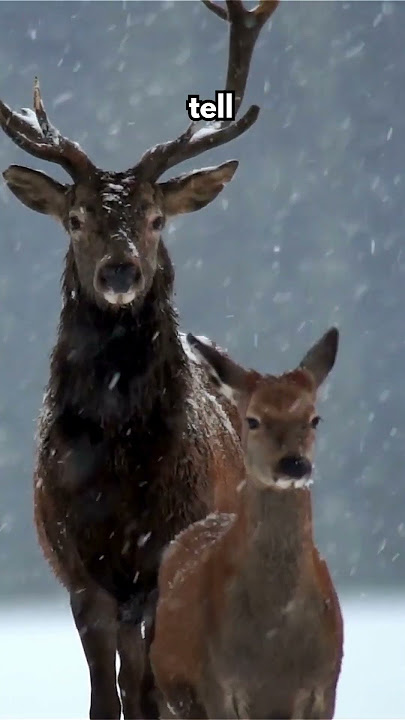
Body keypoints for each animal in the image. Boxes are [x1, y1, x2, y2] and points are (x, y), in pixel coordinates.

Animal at [0, 2, 280, 718]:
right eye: (74, 218)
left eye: (157, 218)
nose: (120, 270)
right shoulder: (79, 568)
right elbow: (107, 695)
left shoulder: (165, 558)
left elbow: (150, 691)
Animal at [151, 329, 344, 720]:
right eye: (253, 419)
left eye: (314, 418)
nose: (294, 464)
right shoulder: (217, 685)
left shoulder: (324, 686)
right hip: (173, 697)